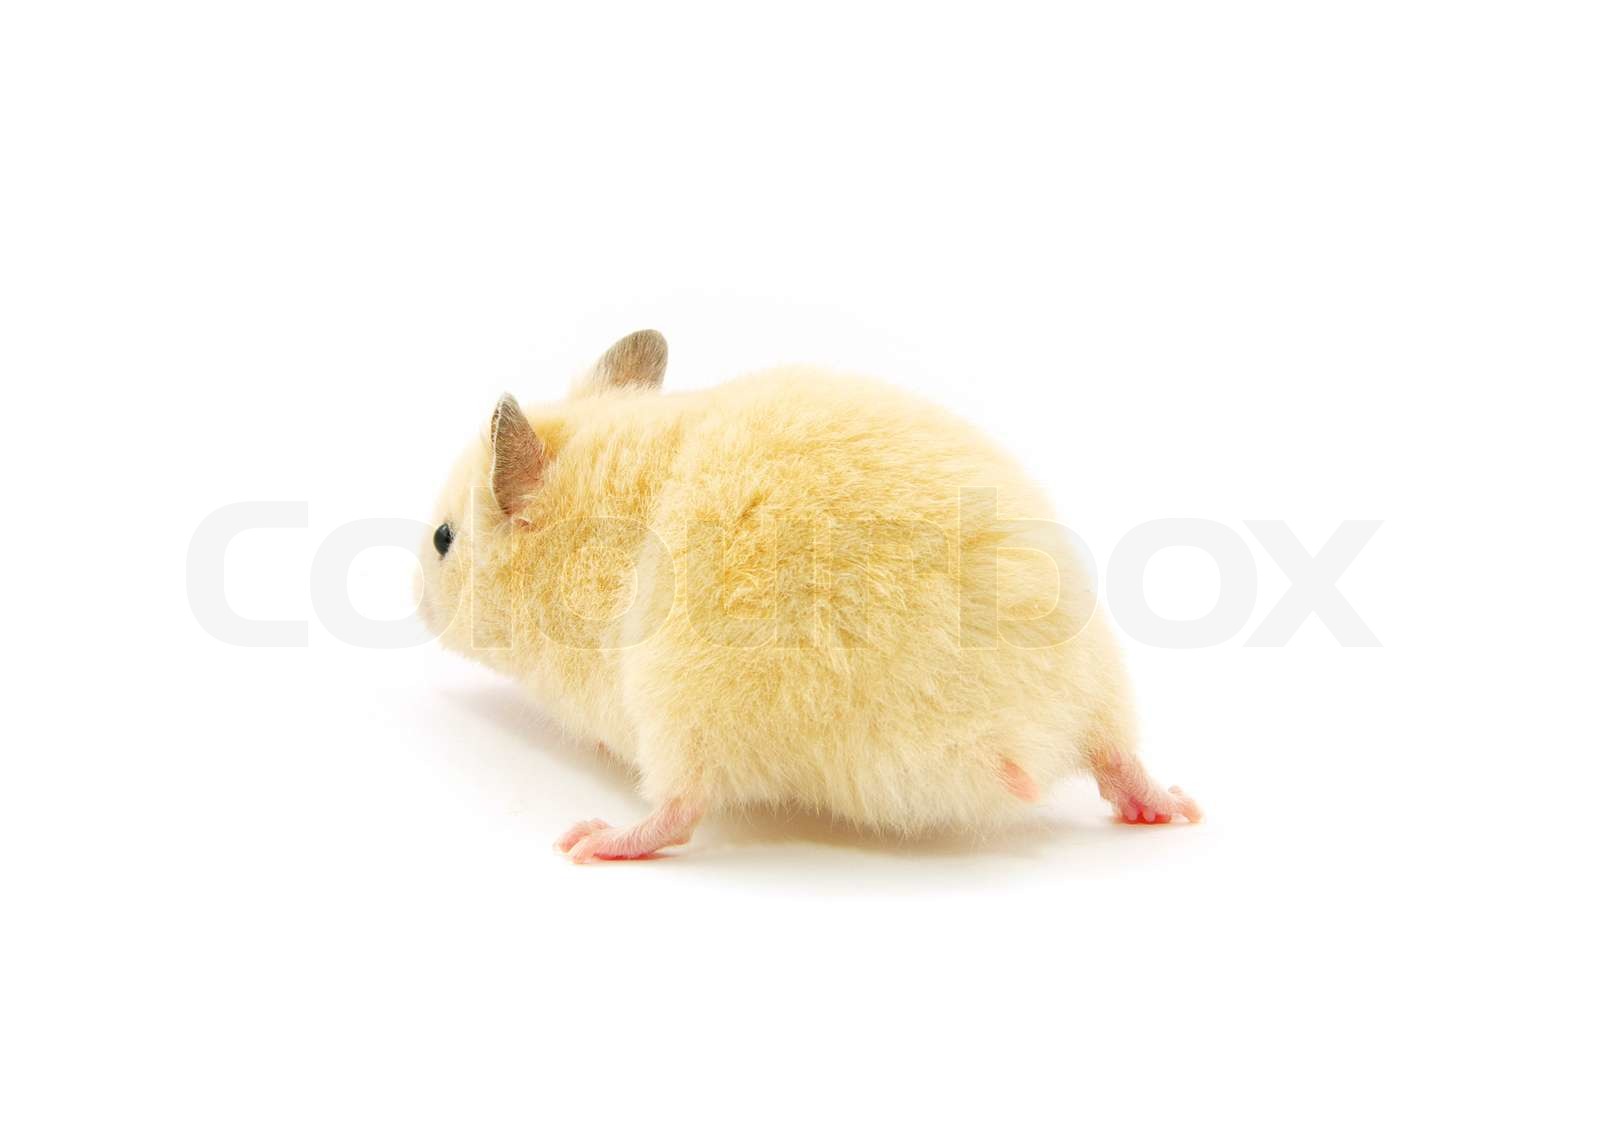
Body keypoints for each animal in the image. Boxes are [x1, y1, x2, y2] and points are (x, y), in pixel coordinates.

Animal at [418, 330, 1200, 862]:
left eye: (442, 539)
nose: (417, 606)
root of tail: (1021, 726)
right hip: (1099, 685)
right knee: (1116, 756)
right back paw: (1173, 807)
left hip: (678, 712)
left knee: (679, 811)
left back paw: (594, 839)